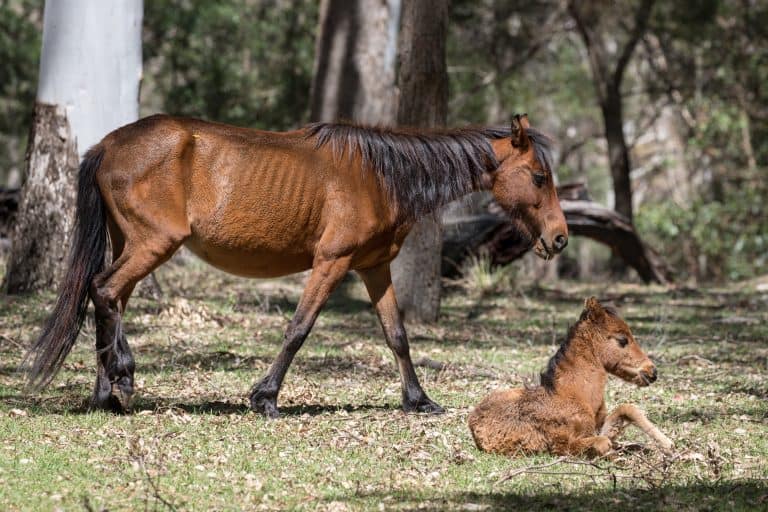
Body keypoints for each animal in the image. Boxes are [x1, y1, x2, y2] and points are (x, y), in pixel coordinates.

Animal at [24, 113, 568, 417]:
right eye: (539, 177)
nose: (559, 239)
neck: (382, 176)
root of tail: (106, 145)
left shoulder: (373, 268)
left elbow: (397, 335)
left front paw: (419, 401)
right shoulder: (333, 261)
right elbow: (298, 329)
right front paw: (265, 398)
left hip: (132, 244)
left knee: (108, 297)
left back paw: (107, 394)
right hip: (151, 245)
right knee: (104, 290)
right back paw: (121, 379)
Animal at [468, 297, 673, 456]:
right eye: (622, 340)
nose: (652, 372)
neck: (576, 394)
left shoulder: (597, 427)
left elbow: (626, 409)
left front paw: (666, 444)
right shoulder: (562, 445)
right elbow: (603, 443)